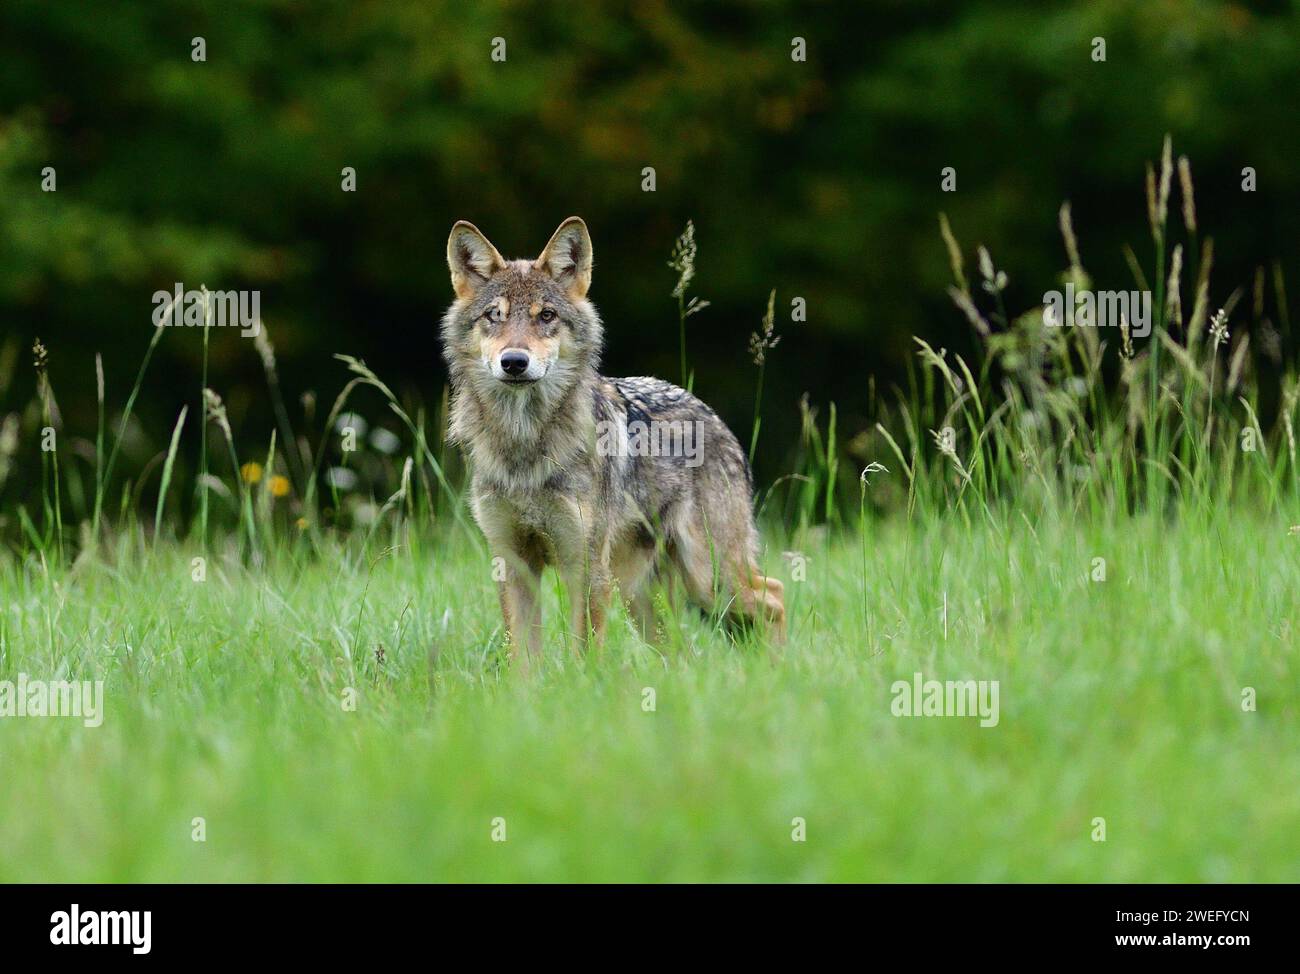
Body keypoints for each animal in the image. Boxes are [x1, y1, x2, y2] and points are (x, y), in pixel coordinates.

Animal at [441, 217, 785, 664]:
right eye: (493, 316)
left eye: (546, 315)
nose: (514, 361)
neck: (525, 445)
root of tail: (713, 416)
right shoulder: (513, 563)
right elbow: (523, 662)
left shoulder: (585, 564)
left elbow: (584, 651)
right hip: (642, 594)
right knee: (682, 650)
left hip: (708, 578)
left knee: (775, 596)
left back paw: (780, 668)